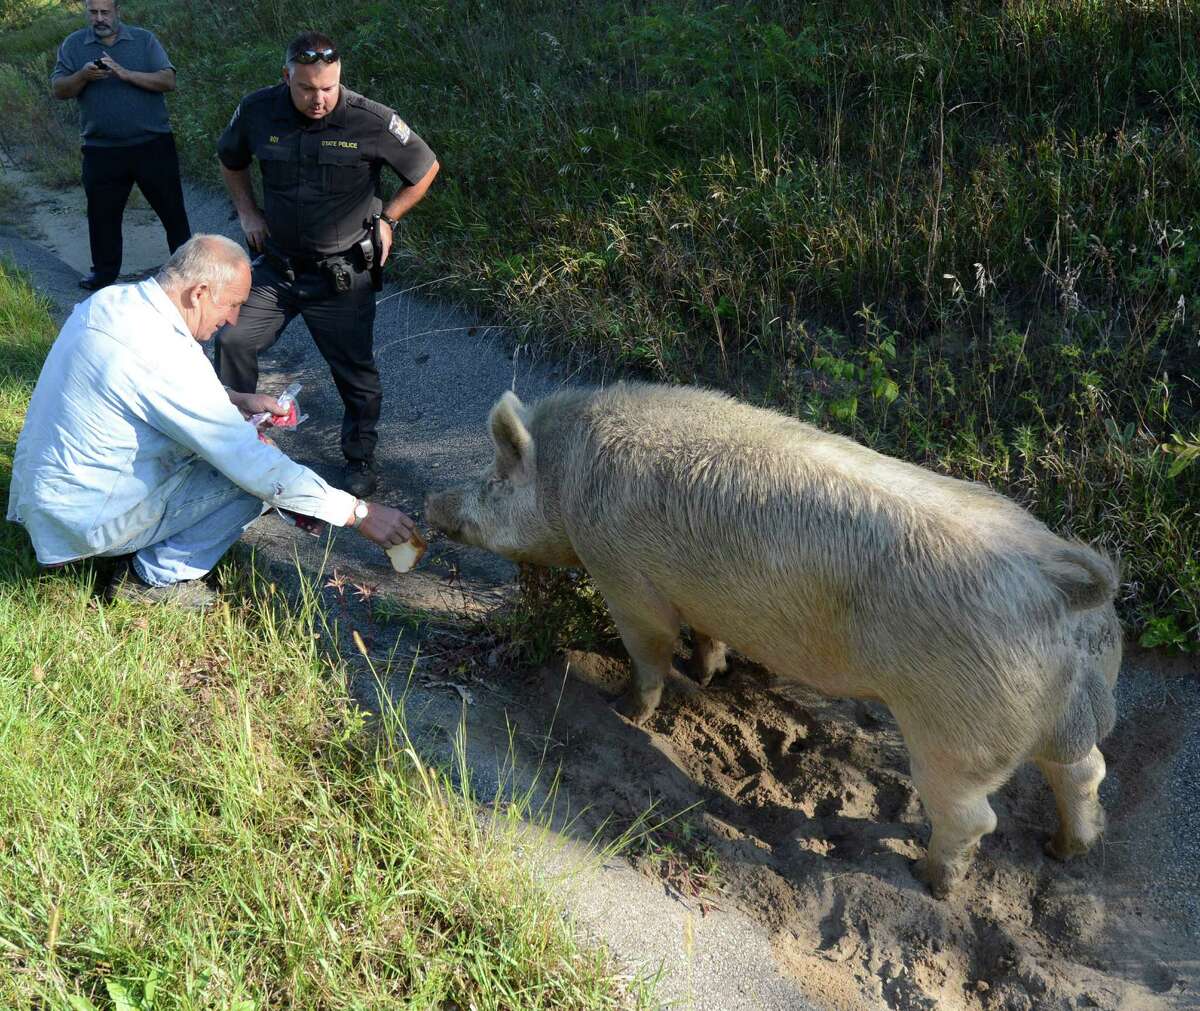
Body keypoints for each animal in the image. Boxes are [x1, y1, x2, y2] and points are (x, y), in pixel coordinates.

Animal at [425, 382, 1121, 897]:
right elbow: (706, 635)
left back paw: (929, 881)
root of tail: (1061, 588)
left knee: (974, 816)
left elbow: (648, 649)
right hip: (1068, 707)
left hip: (958, 728)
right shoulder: (694, 593)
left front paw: (623, 709)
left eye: (495, 474)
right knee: (1085, 769)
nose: (433, 504)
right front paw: (707, 674)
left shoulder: (624, 577)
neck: (568, 480)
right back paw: (1064, 848)